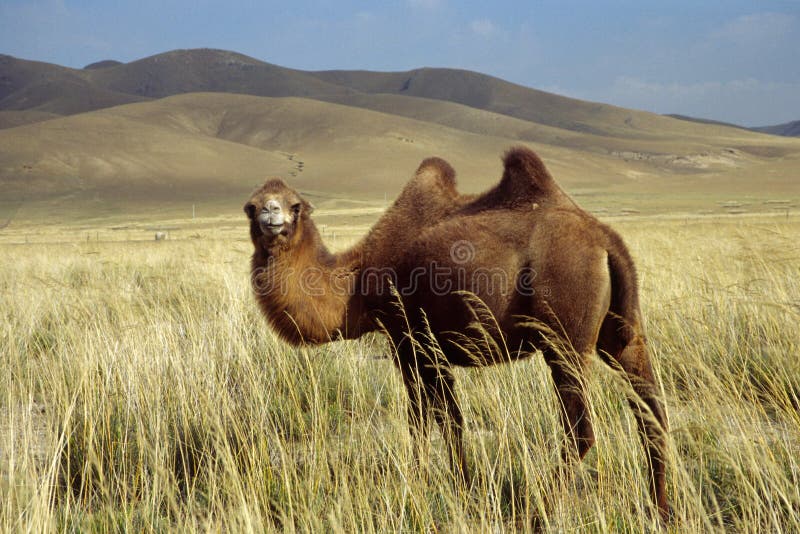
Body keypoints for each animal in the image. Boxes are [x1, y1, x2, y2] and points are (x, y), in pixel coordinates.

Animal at [244, 147, 669, 522]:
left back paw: (537, 511)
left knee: (580, 429)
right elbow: (447, 421)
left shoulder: (410, 341)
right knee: (652, 412)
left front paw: (426, 486)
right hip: (622, 332)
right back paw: (661, 510)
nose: (271, 213)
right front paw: (461, 486)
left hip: (564, 334)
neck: (356, 283)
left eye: (294, 205)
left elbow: (427, 421)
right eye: (252, 205)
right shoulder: (431, 349)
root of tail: (606, 241)